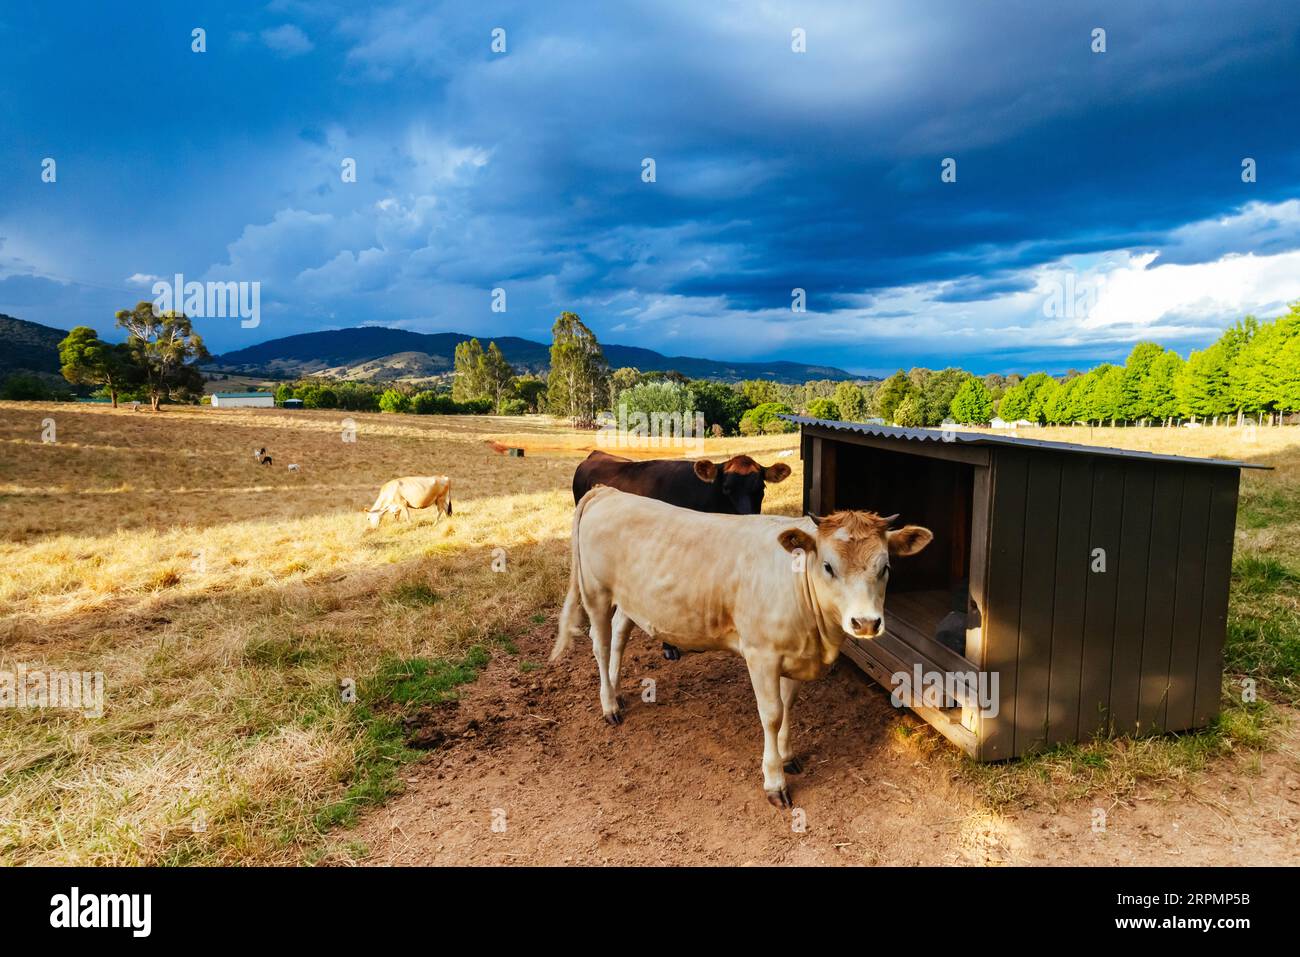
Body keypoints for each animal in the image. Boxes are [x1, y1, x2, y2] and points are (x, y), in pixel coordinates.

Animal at [551, 486, 931, 808]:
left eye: (885, 567)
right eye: (828, 566)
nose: (865, 622)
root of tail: (609, 492)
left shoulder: (794, 651)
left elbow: (789, 706)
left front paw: (787, 756)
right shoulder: (761, 654)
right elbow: (772, 714)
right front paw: (774, 781)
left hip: (629, 599)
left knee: (618, 635)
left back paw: (616, 691)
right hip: (596, 593)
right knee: (600, 644)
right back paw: (609, 705)